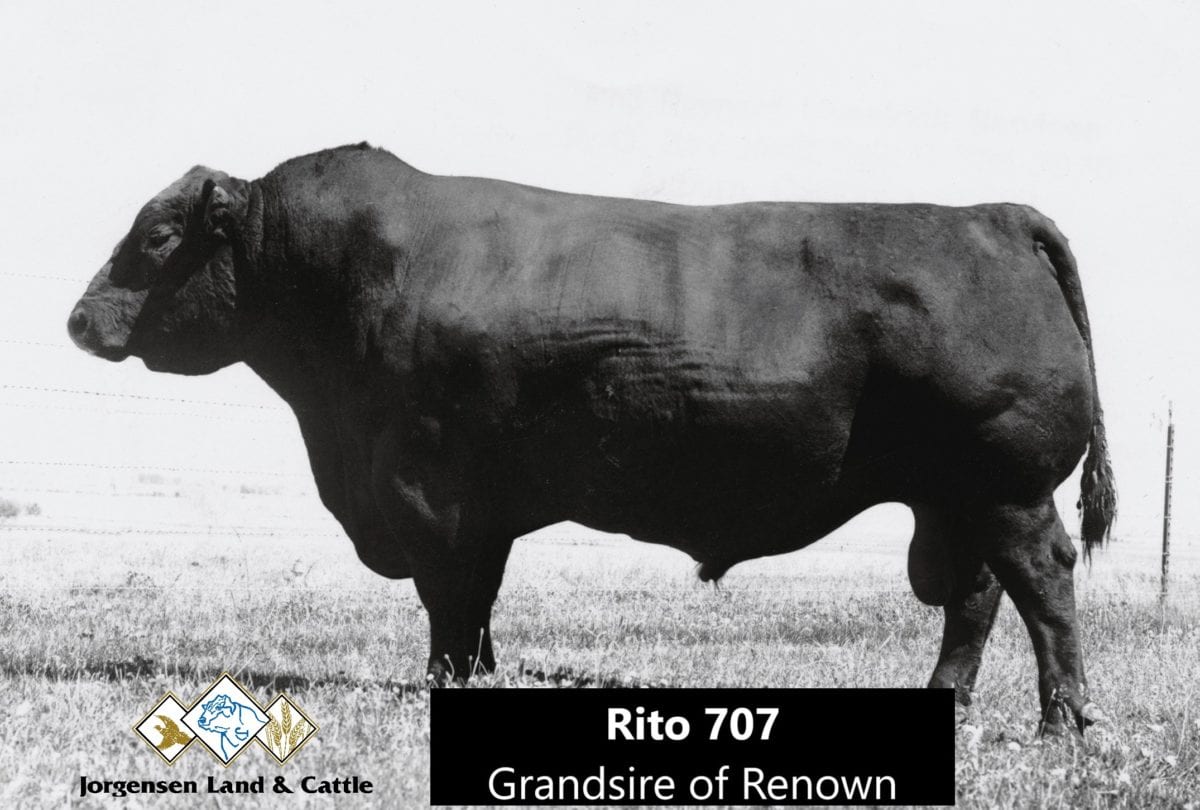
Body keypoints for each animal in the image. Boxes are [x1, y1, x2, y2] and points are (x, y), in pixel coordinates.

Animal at [69, 143, 1115, 733]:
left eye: (156, 238)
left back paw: (1064, 724)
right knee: (976, 596)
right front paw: (479, 677)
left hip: (1008, 488)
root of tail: (993, 216)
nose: (79, 319)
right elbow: (477, 603)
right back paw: (956, 703)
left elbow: (451, 600)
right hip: (957, 496)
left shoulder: (431, 494)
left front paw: (446, 683)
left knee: (1043, 584)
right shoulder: (479, 508)